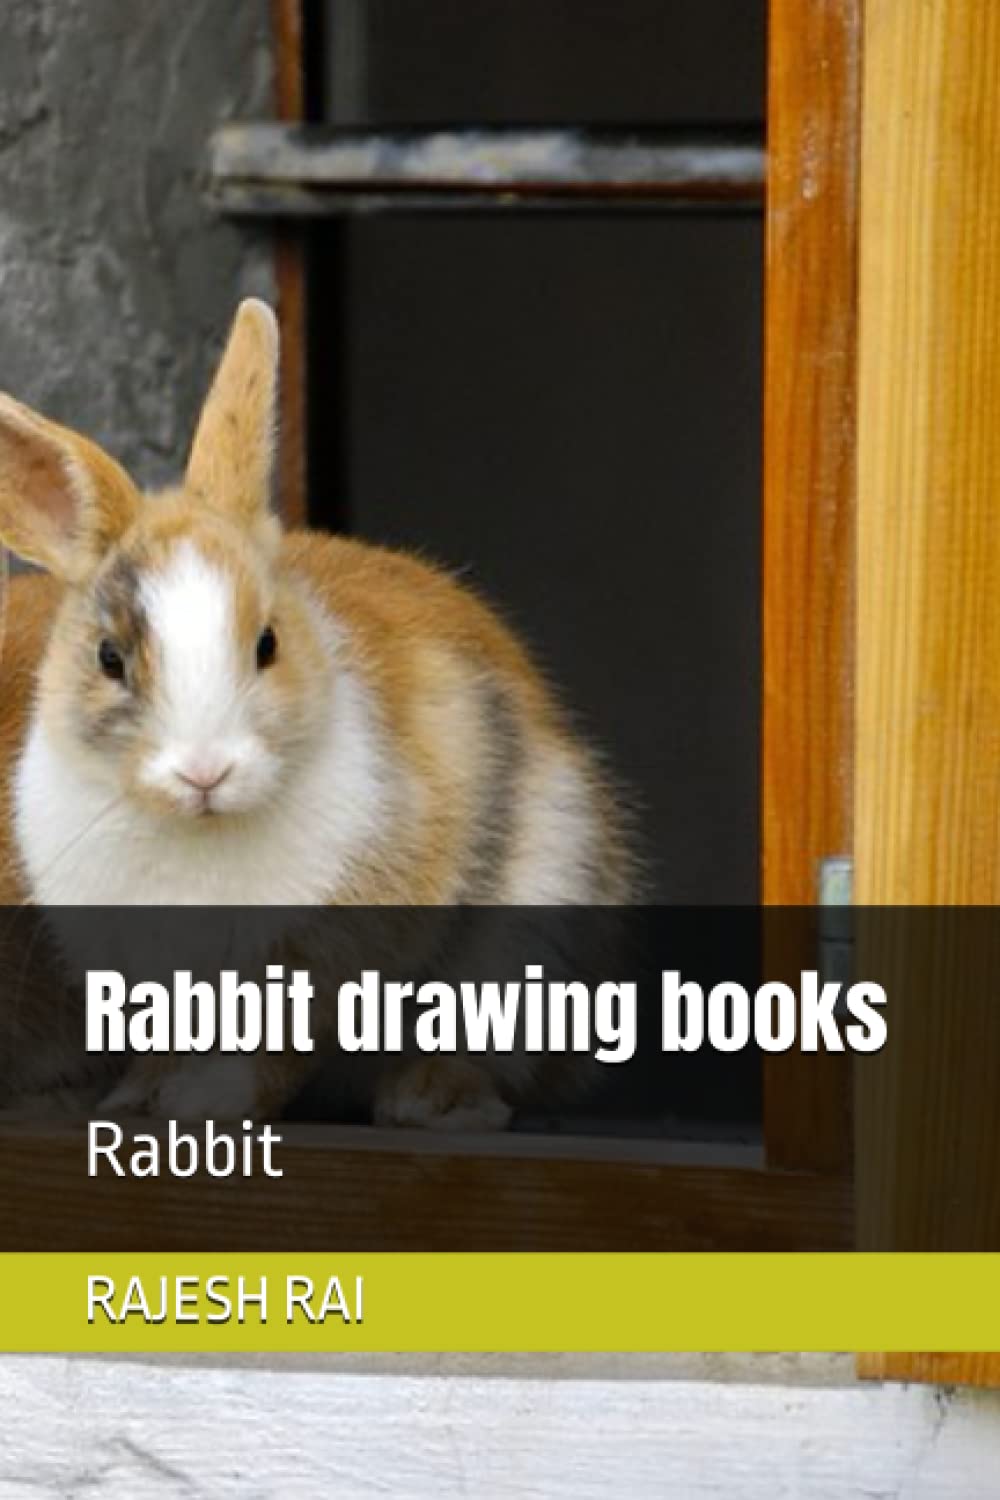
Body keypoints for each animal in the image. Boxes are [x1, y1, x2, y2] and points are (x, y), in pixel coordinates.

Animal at [0, 300, 635, 1129]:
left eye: (267, 642)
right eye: (109, 657)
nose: (205, 771)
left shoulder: (336, 944)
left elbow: (280, 1045)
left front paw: (209, 1104)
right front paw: (140, 1100)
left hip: (539, 919)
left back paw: (428, 1101)